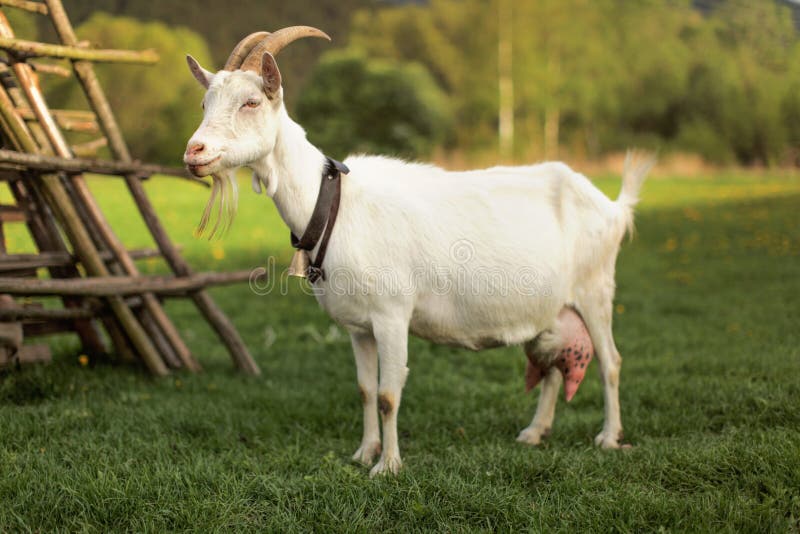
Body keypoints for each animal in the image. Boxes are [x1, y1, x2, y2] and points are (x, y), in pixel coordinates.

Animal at [184, 27, 654, 476]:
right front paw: (363, 453)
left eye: (250, 102)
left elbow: (389, 394)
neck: (334, 203)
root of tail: (612, 206)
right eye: (205, 102)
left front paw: (388, 466)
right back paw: (535, 432)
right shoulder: (358, 326)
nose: (194, 152)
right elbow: (364, 390)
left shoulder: (392, 315)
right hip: (553, 309)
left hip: (595, 289)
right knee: (554, 365)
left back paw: (609, 437)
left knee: (611, 361)